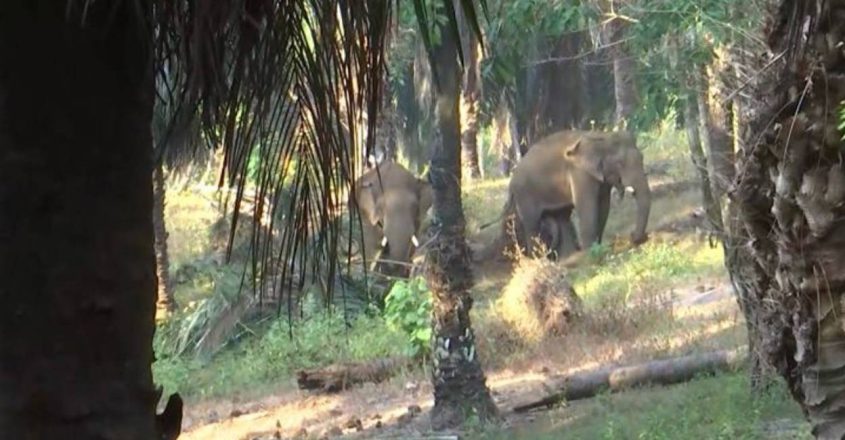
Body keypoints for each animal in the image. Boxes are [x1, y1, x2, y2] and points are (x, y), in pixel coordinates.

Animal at [504, 129, 651, 257]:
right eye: (619, 163)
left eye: (642, 157)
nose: (632, 235)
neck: (601, 137)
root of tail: (511, 180)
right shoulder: (579, 174)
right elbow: (587, 207)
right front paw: (591, 253)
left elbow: (604, 207)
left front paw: (598, 247)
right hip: (524, 195)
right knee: (532, 225)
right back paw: (540, 259)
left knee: (561, 216)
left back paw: (570, 255)